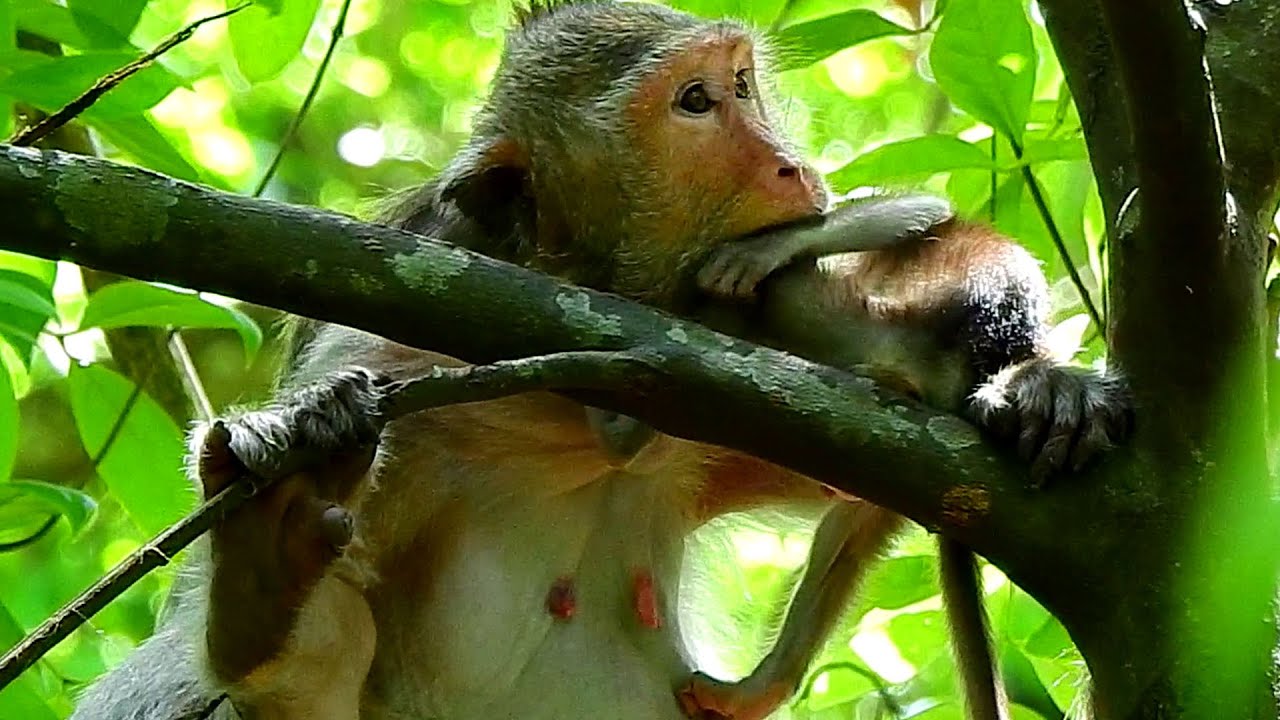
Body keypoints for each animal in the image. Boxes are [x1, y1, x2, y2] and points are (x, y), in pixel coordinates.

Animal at [66, 2, 1130, 720]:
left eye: (743, 85)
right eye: (694, 103)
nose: (791, 167)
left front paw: (1044, 378)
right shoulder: (395, 345)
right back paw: (269, 571)